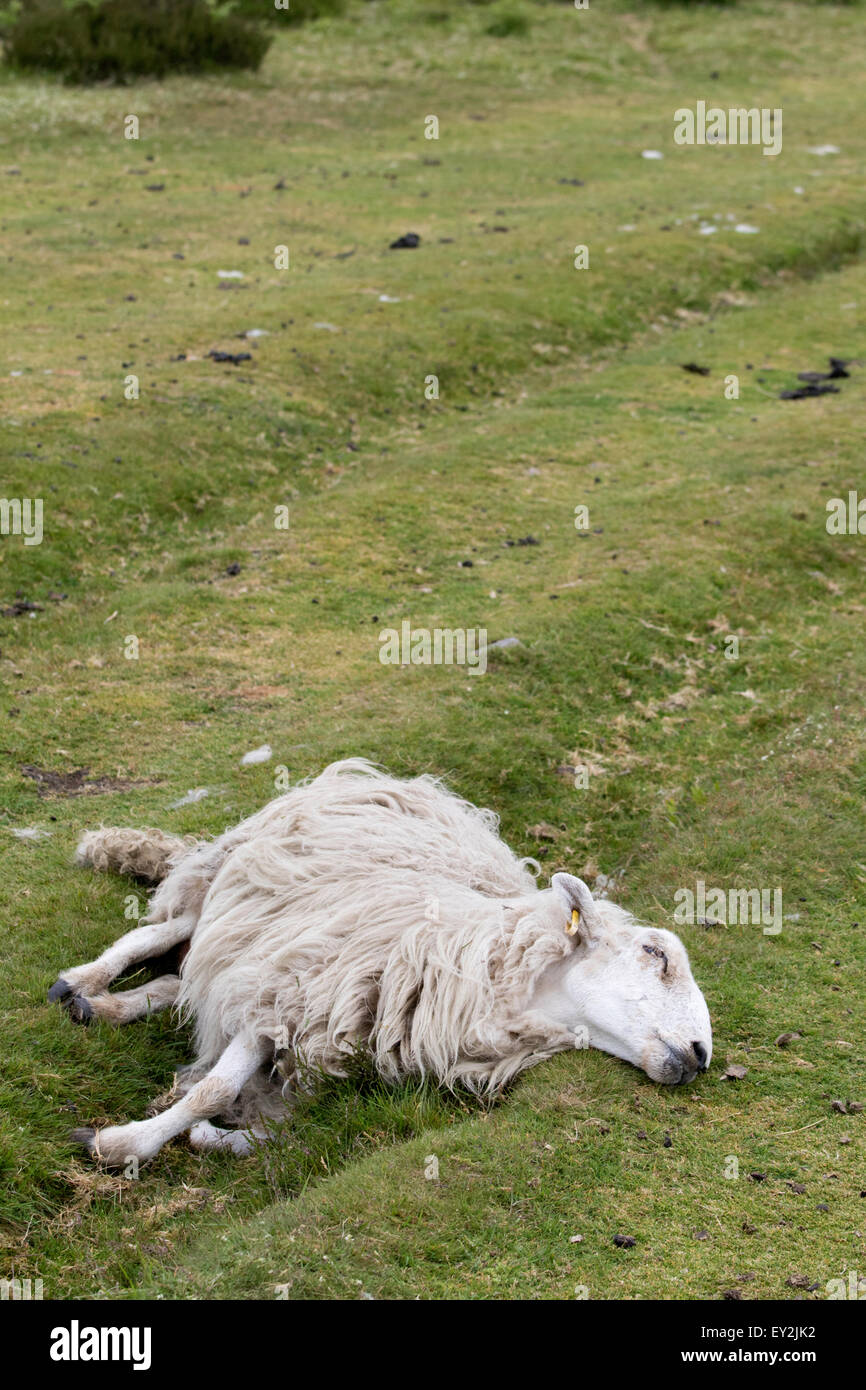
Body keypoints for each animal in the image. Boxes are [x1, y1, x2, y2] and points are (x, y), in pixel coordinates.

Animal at [49, 758, 712, 1166]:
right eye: (655, 953)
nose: (702, 1055)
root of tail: (382, 777)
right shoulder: (290, 993)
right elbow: (213, 1087)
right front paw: (121, 1144)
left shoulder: (318, 1028)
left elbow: (262, 1129)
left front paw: (212, 1135)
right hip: (230, 886)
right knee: (158, 934)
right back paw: (80, 983)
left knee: (177, 977)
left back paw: (108, 1007)